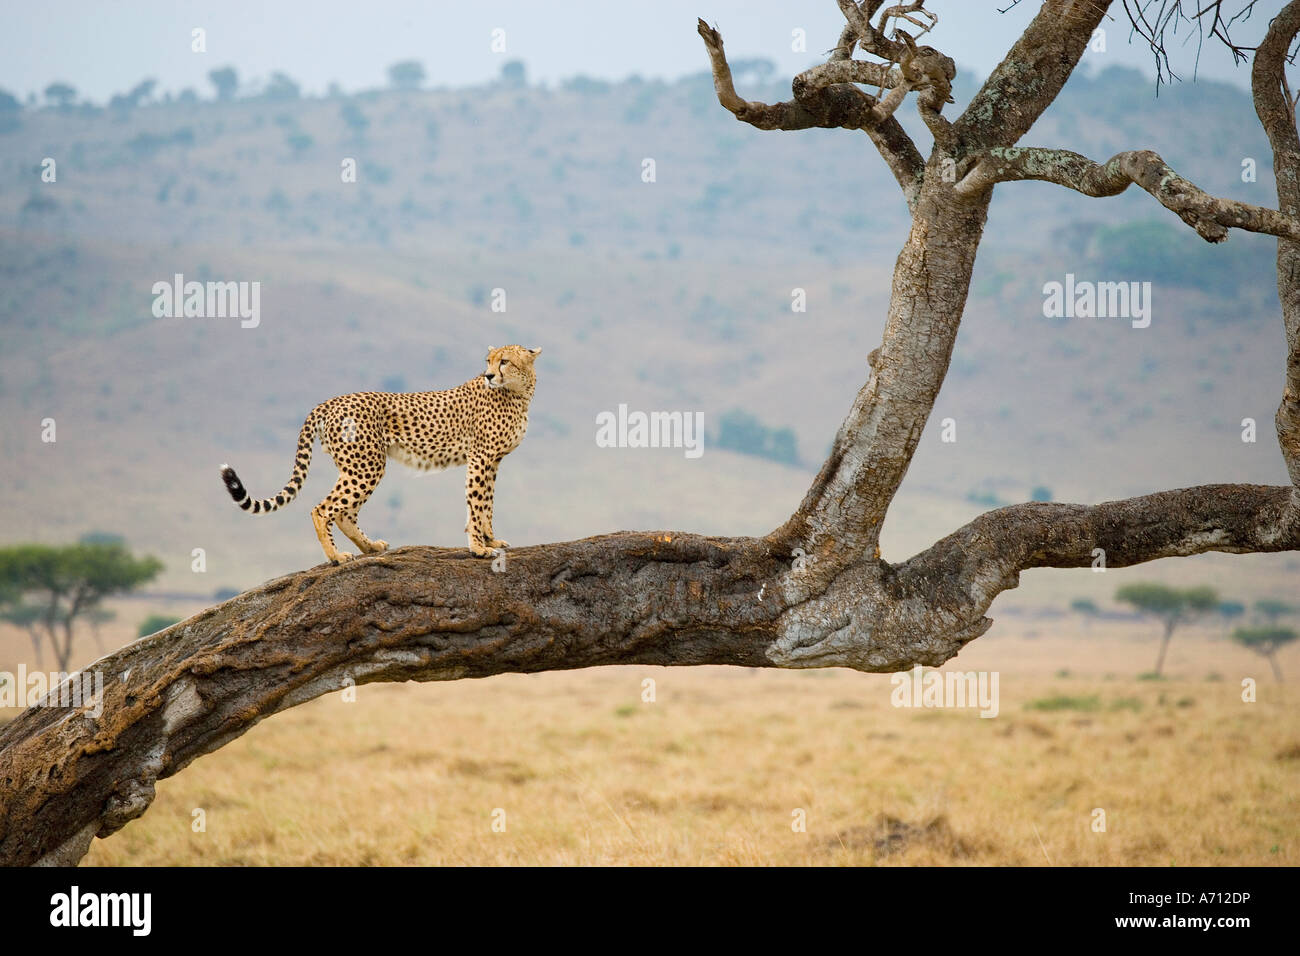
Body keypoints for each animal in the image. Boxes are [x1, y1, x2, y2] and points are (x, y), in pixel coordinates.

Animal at [219, 345, 540, 564]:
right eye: (489, 361)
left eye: (504, 361)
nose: (489, 375)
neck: (518, 392)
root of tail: (330, 401)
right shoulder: (481, 457)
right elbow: (476, 504)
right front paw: (478, 547)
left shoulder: (493, 460)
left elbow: (486, 503)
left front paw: (491, 539)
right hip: (366, 465)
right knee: (323, 509)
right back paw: (336, 556)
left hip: (360, 465)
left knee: (345, 513)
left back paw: (370, 547)